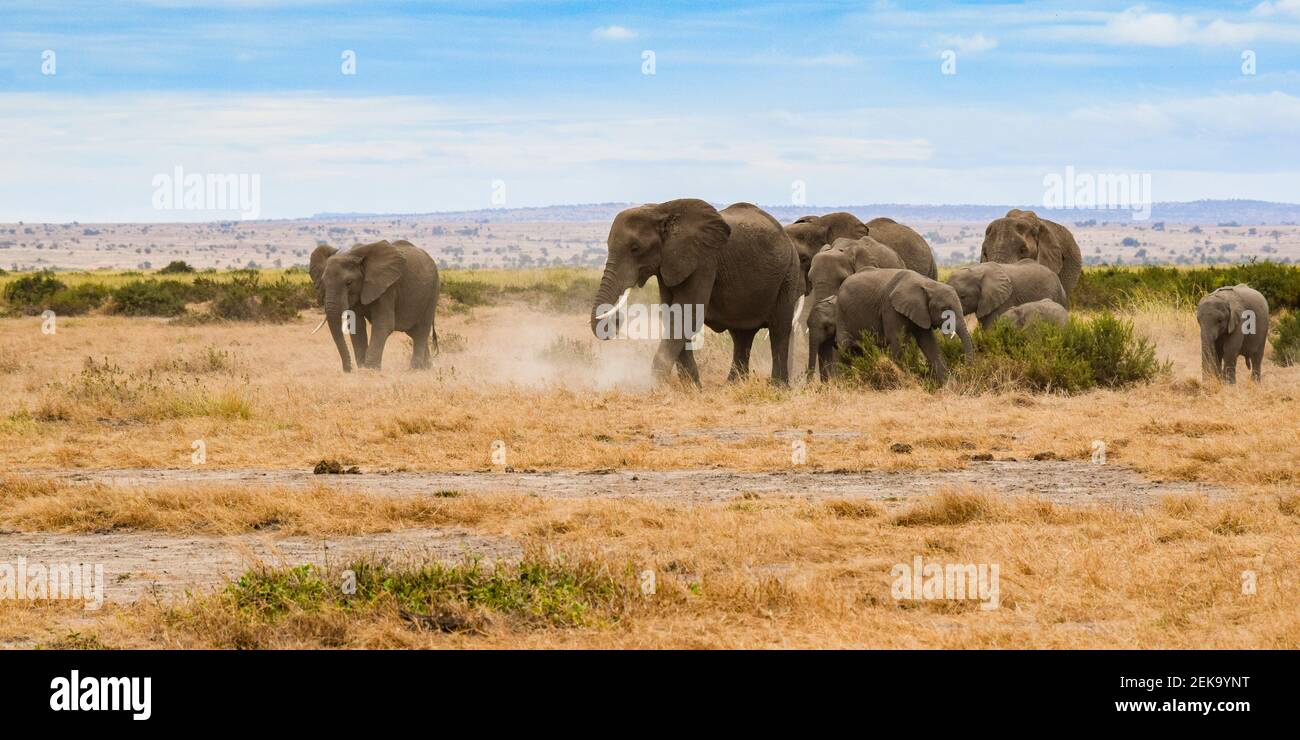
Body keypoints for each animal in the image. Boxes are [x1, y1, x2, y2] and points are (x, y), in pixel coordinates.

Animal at [309, 240, 440, 372]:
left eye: (349, 283)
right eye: (323, 282)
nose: (348, 370)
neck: (353, 254)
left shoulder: (387, 288)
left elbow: (383, 324)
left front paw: (371, 369)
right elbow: (357, 326)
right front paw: (363, 368)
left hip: (432, 292)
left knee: (421, 331)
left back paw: (414, 368)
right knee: (413, 333)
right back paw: (426, 367)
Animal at [589, 199, 801, 385]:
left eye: (635, 248)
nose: (617, 318)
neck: (661, 210)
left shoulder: (703, 260)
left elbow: (687, 314)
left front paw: (655, 386)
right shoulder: (669, 265)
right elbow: (673, 315)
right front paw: (693, 388)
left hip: (789, 275)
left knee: (779, 330)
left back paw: (778, 387)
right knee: (742, 336)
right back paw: (733, 386)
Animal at [834, 268, 973, 385]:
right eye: (945, 309)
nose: (964, 371)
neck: (927, 284)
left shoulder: (921, 312)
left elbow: (929, 344)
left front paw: (951, 386)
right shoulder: (890, 308)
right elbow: (898, 343)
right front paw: (906, 383)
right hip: (842, 316)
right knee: (845, 349)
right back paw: (845, 382)